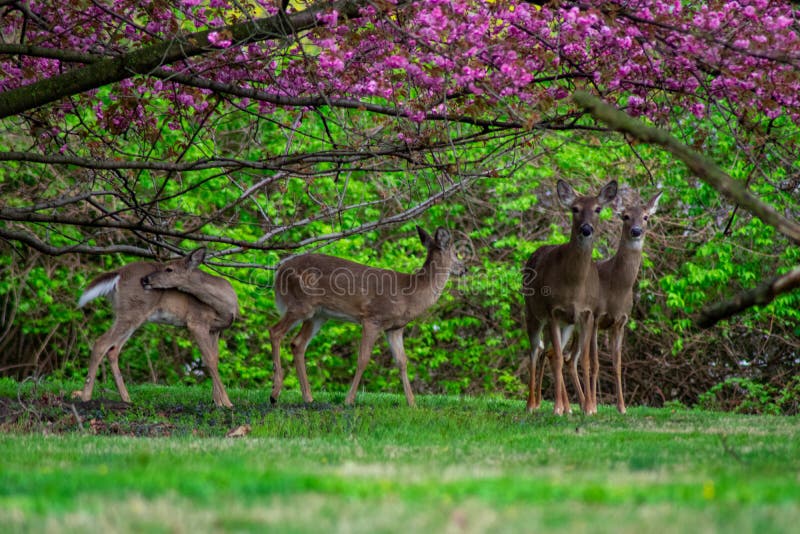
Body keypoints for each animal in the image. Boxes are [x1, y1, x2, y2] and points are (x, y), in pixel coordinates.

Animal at [76, 248, 238, 408]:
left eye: (169, 269)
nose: (145, 279)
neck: (225, 305)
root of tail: (119, 274)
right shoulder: (196, 321)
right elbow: (209, 359)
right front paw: (227, 402)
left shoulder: (215, 329)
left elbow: (214, 358)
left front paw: (217, 401)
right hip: (133, 311)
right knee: (101, 343)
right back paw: (85, 397)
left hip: (128, 314)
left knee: (113, 350)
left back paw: (127, 399)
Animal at [268, 226, 466, 407]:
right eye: (455, 252)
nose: (464, 269)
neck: (410, 294)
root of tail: (279, 272)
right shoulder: (372, 318)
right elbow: (363, 359)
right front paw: (349, 400)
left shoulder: (395, 328)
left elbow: (402, 362)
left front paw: (412, 404)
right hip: (300, 304)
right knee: (275, 331)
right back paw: (275, 393)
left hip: (319, 314)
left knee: (298, 343)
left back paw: (308, 397)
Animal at [522, 179, 618, 415]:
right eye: (575, 209)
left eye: (598, 209)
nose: (586, 229)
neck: (574, 285)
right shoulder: (552, 311)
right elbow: (557, 358)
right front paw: (556, 408)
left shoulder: (587, 313)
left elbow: (584, 360)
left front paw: (589, 408)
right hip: (532, 313)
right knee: (534, 352)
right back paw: (531, 404)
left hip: (567, 324)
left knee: (547, 352)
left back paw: (566, 408)